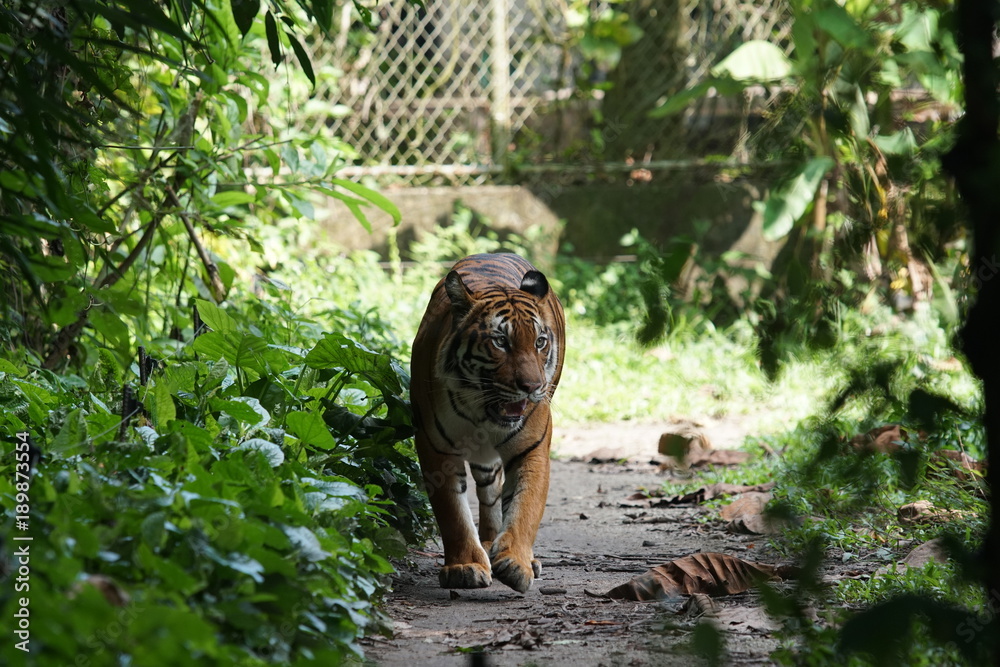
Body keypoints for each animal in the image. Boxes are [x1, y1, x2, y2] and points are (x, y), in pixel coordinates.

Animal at [410, 252, 565, 594]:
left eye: (540, 342)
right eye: (500, 341)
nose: (533, 387)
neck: (481, 413)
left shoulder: (532, 450)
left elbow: (526, 506)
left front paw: (515, 563)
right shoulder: (435, 450)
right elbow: (452, 513)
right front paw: (465, 566)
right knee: (489, 488)